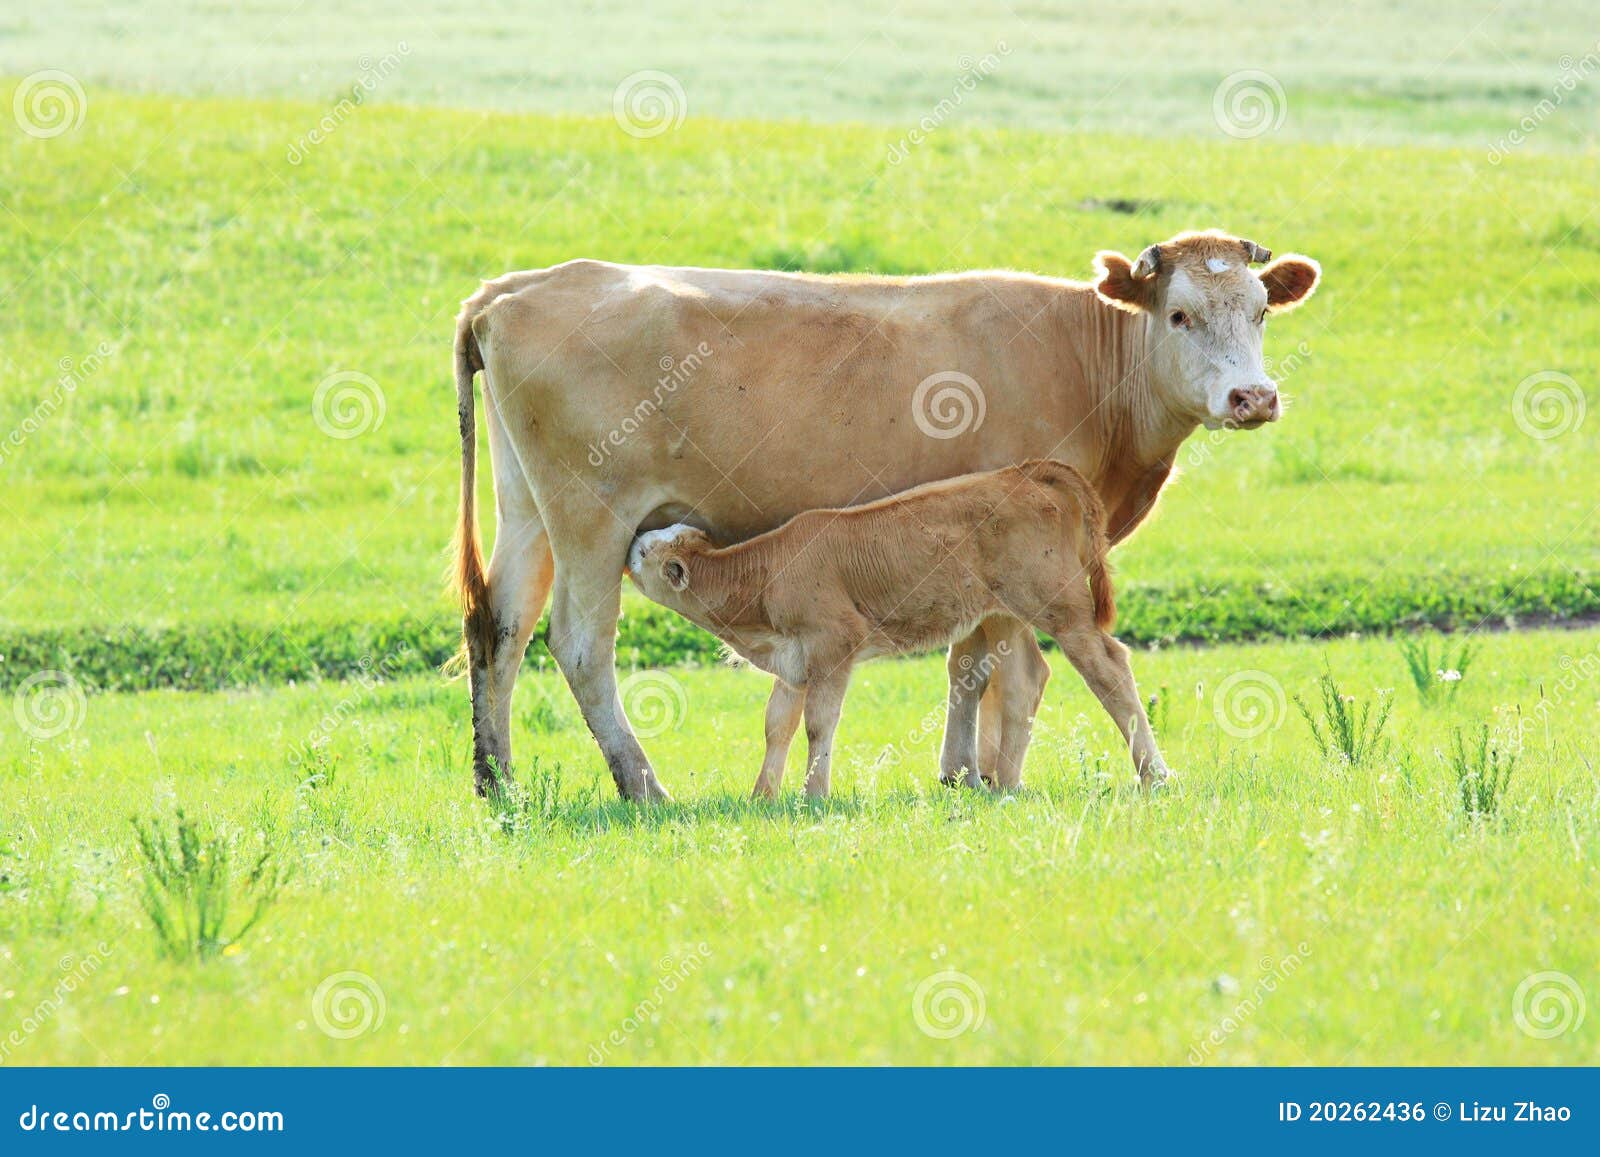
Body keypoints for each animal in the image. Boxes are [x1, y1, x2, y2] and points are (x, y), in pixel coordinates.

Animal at [625, 459, 1168, 796]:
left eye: (645, 550)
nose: (631, 540)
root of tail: (1024, 472)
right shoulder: (794, 659)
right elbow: (777, 723)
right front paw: (763, 796)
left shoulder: (833, 644)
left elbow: (818, 723)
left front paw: (814, 795)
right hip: (1003, 613)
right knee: (1025, 681)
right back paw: (1008, 786)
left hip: (1060, 606)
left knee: (1108, 668)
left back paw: (1155, 776)